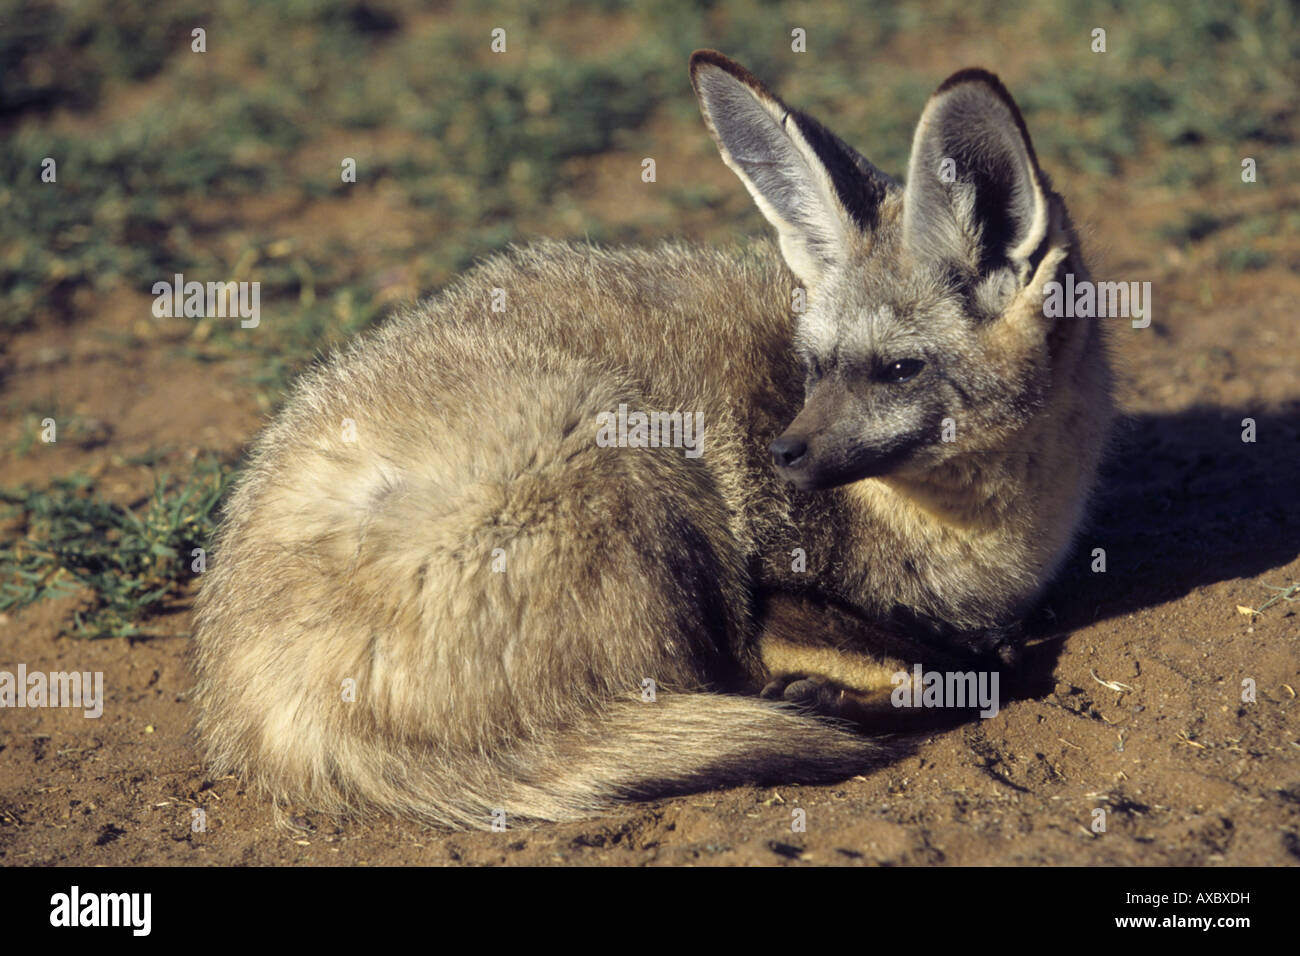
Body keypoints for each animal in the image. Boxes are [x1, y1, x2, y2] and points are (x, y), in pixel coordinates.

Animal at [191, 51, 1112, 828]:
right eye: (815, 366)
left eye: (898, 370)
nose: (781, 454)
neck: (989, 545)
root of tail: (257, 710)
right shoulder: (768, 602)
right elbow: (973, 670)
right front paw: (862, 684)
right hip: (634, 467)